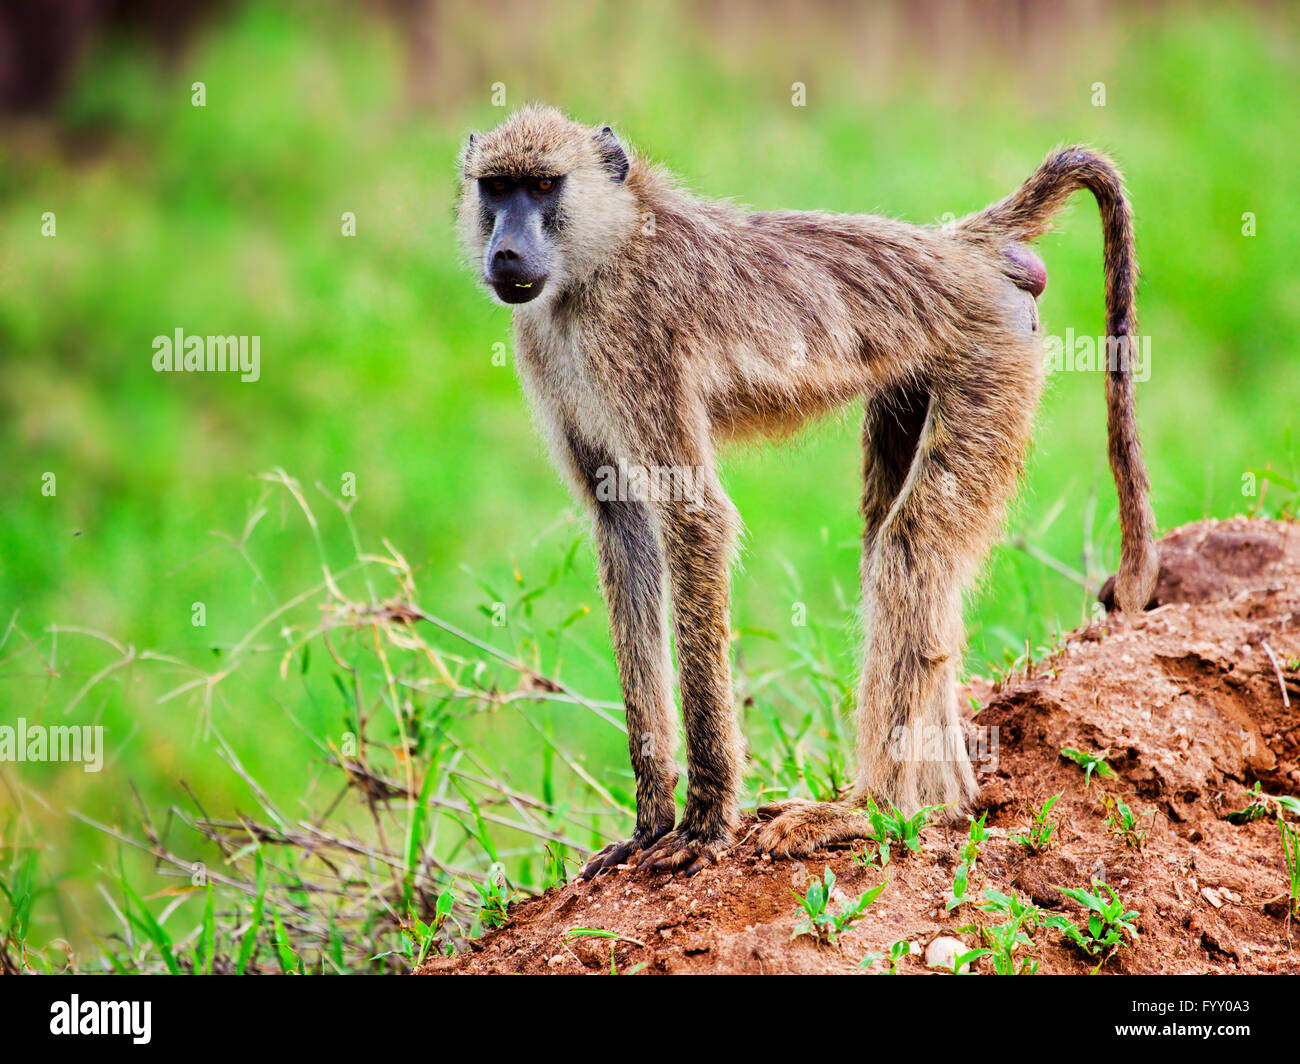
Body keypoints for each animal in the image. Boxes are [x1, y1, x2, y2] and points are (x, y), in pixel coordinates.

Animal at [456, 105, 1158, 876]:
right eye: (496, 188)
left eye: (544, 186)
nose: (507, 252)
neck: (598, 258)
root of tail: (959, 250)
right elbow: (622, 524)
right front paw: (650, 822)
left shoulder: (638, 338)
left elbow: (694, 517)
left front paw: (704, 824)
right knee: (897, 541)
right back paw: (944, 805)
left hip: (992, 362)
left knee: (910, 547)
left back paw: (873, 810)